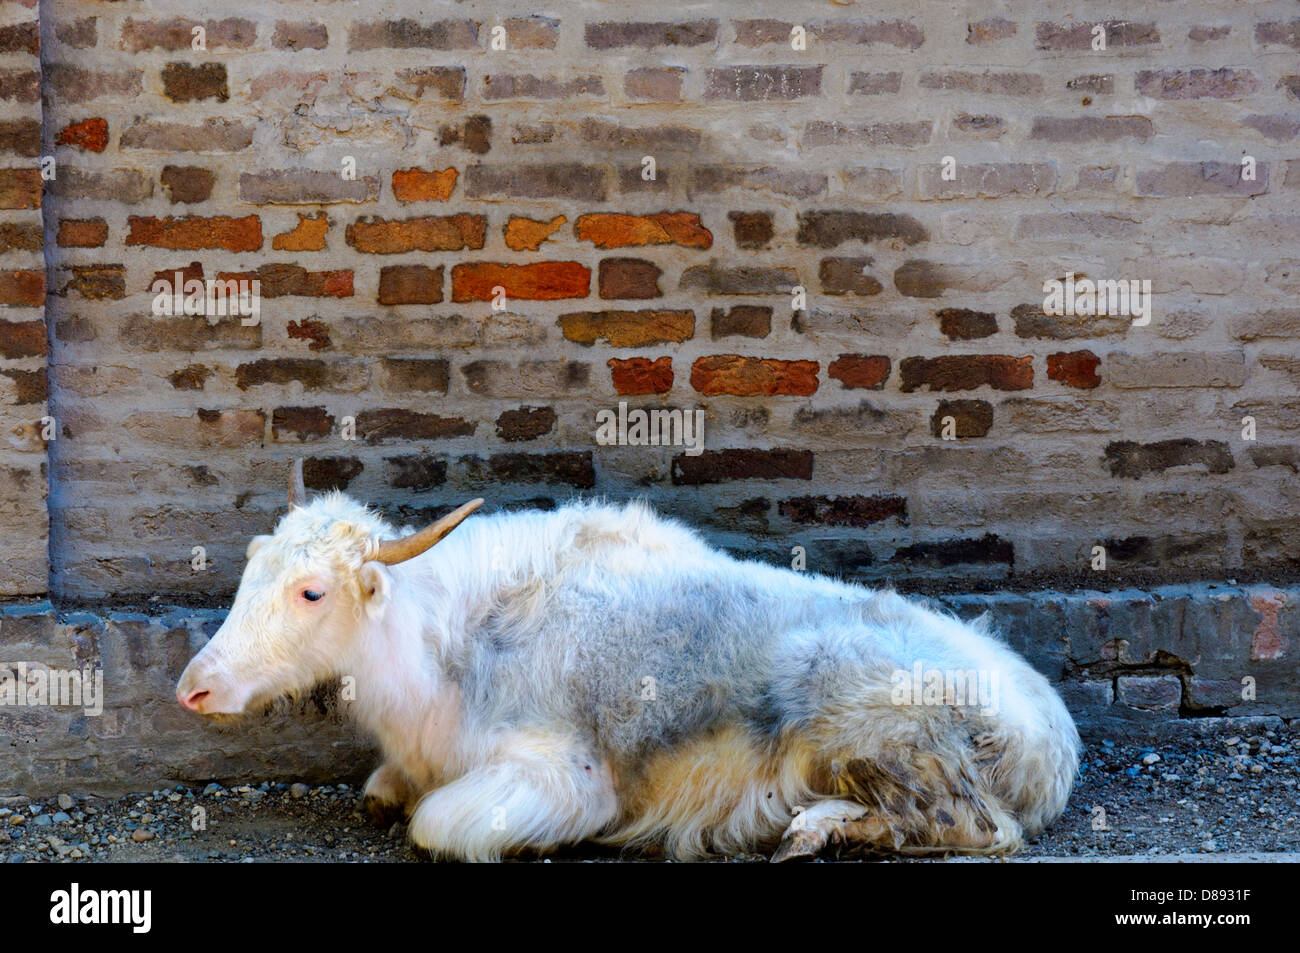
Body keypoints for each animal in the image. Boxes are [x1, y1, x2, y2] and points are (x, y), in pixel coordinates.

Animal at [176, 461, 1080, 862]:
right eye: (253, 568)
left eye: (312, 591)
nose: (195, 687)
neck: (451, 640)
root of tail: (1049, 737)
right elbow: (381, 792)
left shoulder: (561, 775)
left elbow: (437, 823)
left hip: (868, 728)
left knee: (980, 829)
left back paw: (807, 828)